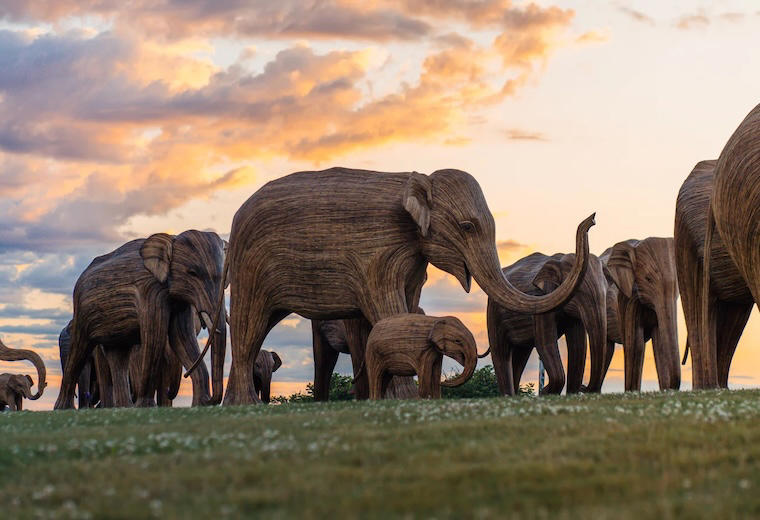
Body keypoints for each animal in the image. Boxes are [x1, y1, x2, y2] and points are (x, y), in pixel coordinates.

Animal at [54, 230, 226, 409]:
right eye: (192, 273)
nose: (186, 375)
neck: (171, 239)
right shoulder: (148, 290)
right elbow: (155, 335)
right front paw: (146, 406)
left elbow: (182, 338)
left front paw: (200, 404)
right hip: (81, 311)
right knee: (79, 351)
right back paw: (63, 408)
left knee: (117, 355)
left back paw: (125, 407)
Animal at [212, 167, 594, 405]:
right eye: (467, 226)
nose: (591, 217)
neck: (416, 179)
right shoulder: (378, 254)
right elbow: (386, 306)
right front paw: (407, 398)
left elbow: (408, 305)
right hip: (251, 268)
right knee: (249, 326)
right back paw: (244, 405)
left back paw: (236, 405)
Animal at [485, 252, 608, 396]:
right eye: (578, 291)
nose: (583, 387)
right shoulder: (541, 299)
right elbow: (545, 344)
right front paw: (546, 392)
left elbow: (578, 346)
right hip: (494, 314)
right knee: (501, 354)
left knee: (520, 355)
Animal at [600, 238, 680, 391]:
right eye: (648, 279)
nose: (669, 389)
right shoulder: (627, 299)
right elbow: (636, 344)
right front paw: (631, 391)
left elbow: (659, 343)